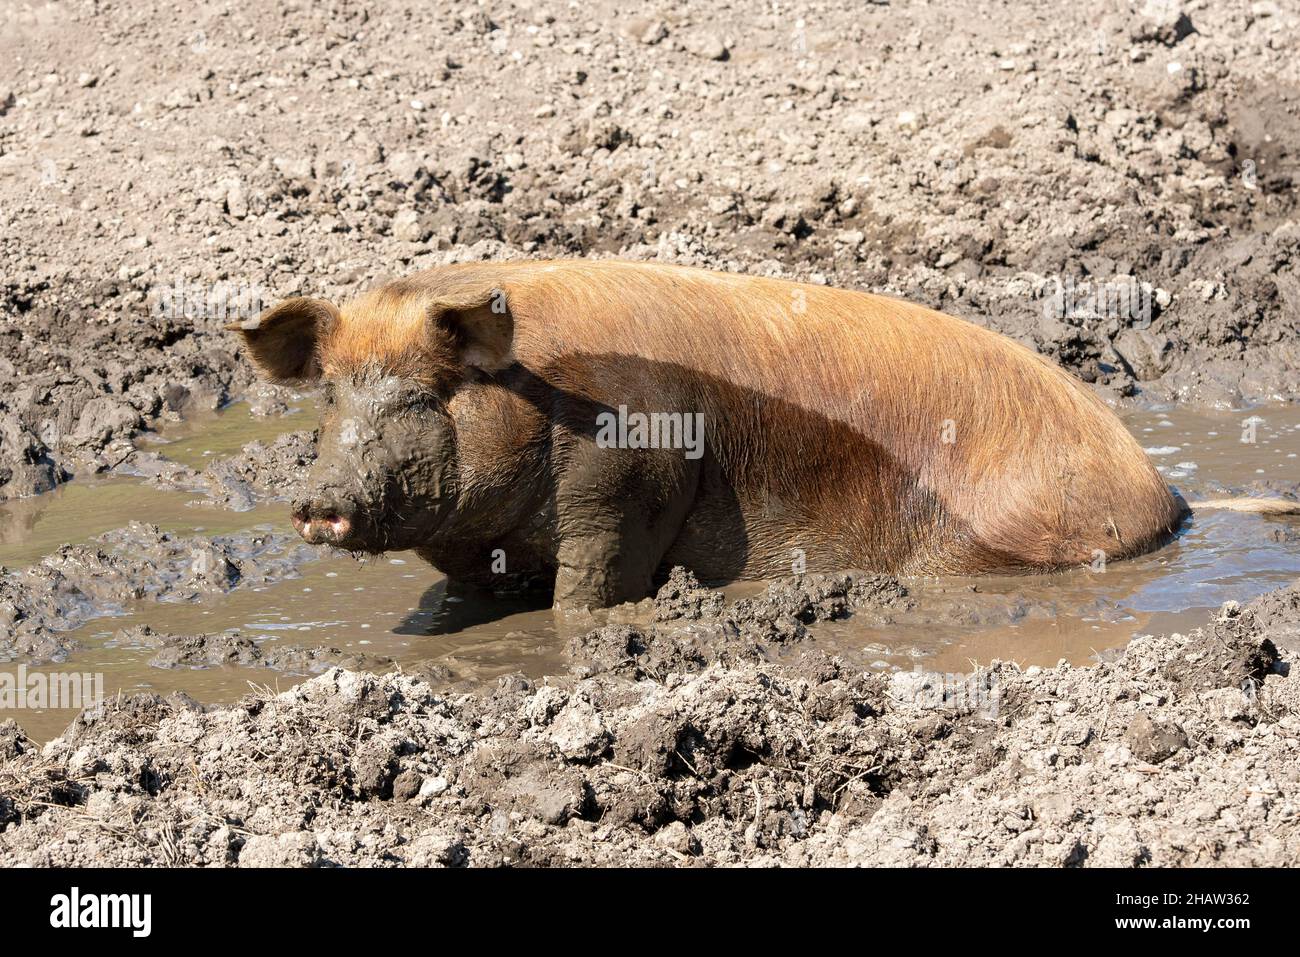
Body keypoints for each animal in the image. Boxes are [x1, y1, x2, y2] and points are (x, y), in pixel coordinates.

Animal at [229, 259, 1191, 609]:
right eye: (331, 398)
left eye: (427, 394)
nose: (316, 501)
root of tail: (1163, 496)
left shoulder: (630, 482)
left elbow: (589, 591)